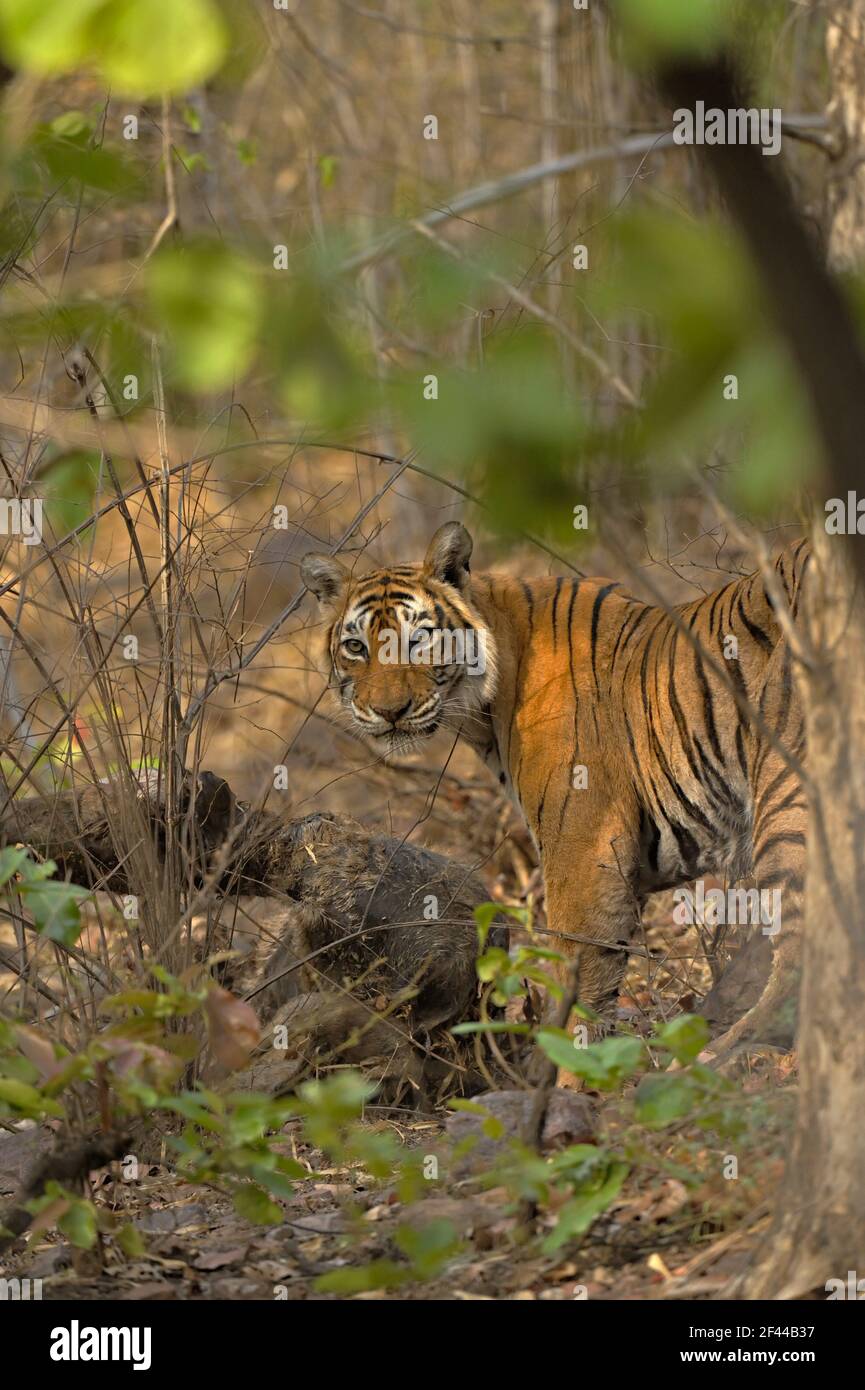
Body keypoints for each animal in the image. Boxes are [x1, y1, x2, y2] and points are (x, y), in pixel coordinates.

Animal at [301, 522, 810, 1072]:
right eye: (355, 646)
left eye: (418, 640)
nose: (389, 711)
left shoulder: (583, 850)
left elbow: (578, 984)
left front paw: (566, 1077)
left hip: (788, 796)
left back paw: (721, 1057)